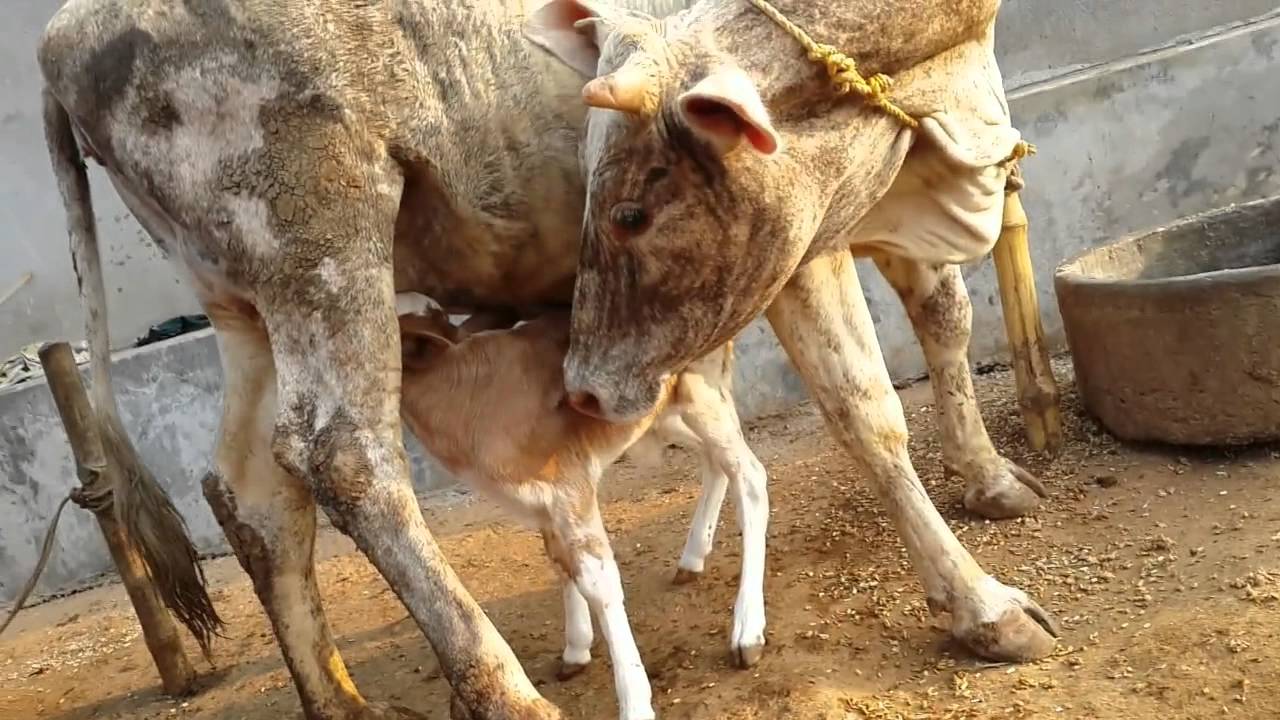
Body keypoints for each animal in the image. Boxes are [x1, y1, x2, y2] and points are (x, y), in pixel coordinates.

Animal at [36, 0, 1054, 717]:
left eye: (631, 209)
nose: (588, 390)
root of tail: (55, 36)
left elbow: (945, 312)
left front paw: (992, 478)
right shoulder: (802, 239)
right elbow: (867, 412)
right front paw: (986, 607)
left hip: (242, 302)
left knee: (248, 492)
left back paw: (338, 699)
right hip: (319, 243)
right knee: (342, 455)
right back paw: (505, 693)